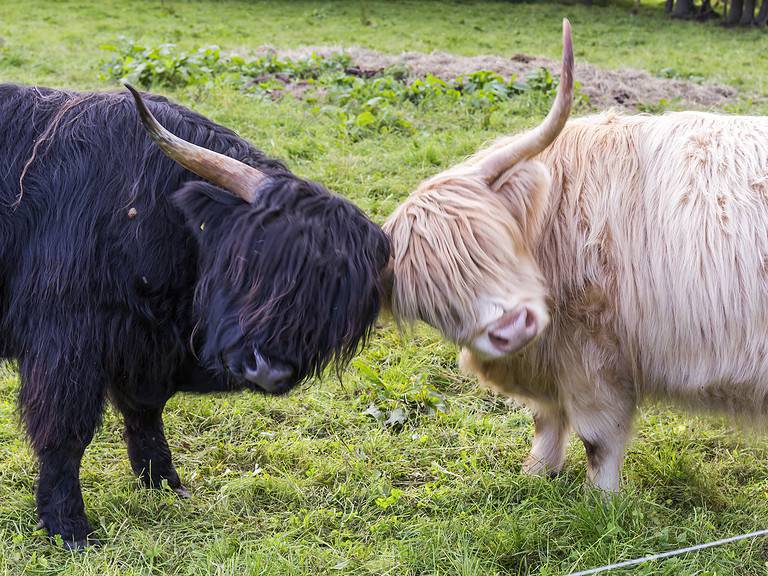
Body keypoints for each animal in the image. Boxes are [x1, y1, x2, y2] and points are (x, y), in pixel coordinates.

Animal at [0, 83, 389, 547]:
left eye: (334, 302)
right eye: (250, 258)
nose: (268, 371)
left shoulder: (142, 349)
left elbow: (145, 413)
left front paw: (165, 484)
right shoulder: (67, 341)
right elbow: (65, 431)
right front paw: (69, 526)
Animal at [383, 18, 768, 494]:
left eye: (494, 244)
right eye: (430, 300)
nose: (511, 328)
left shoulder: (595, 356)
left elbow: (598, 440)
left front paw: (603, 500)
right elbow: (544, 419)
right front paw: (537, 471)